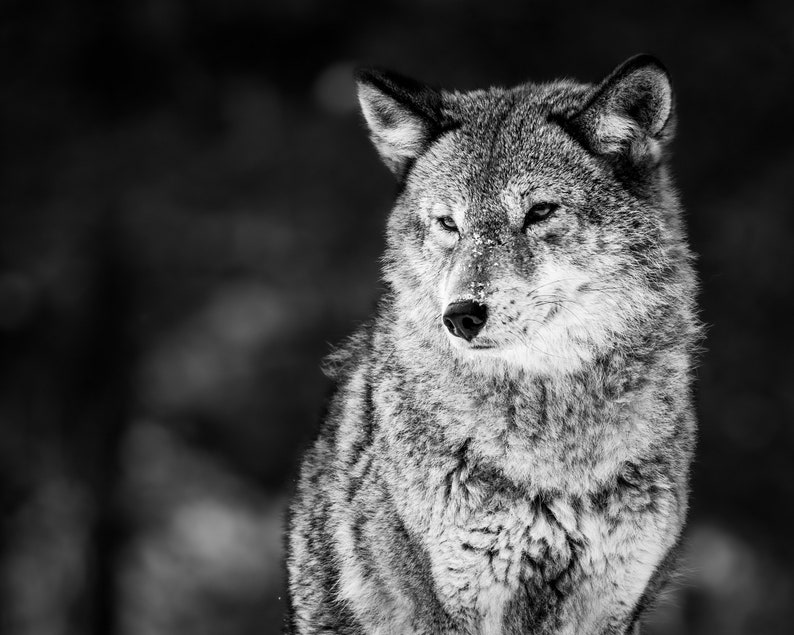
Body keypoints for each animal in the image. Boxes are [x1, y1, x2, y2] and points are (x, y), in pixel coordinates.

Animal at [286, 54, 700, 634]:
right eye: (448, 223)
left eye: (540, 212)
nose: (462, 315)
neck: (554, 455)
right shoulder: (452, 603)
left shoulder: (610, 606)